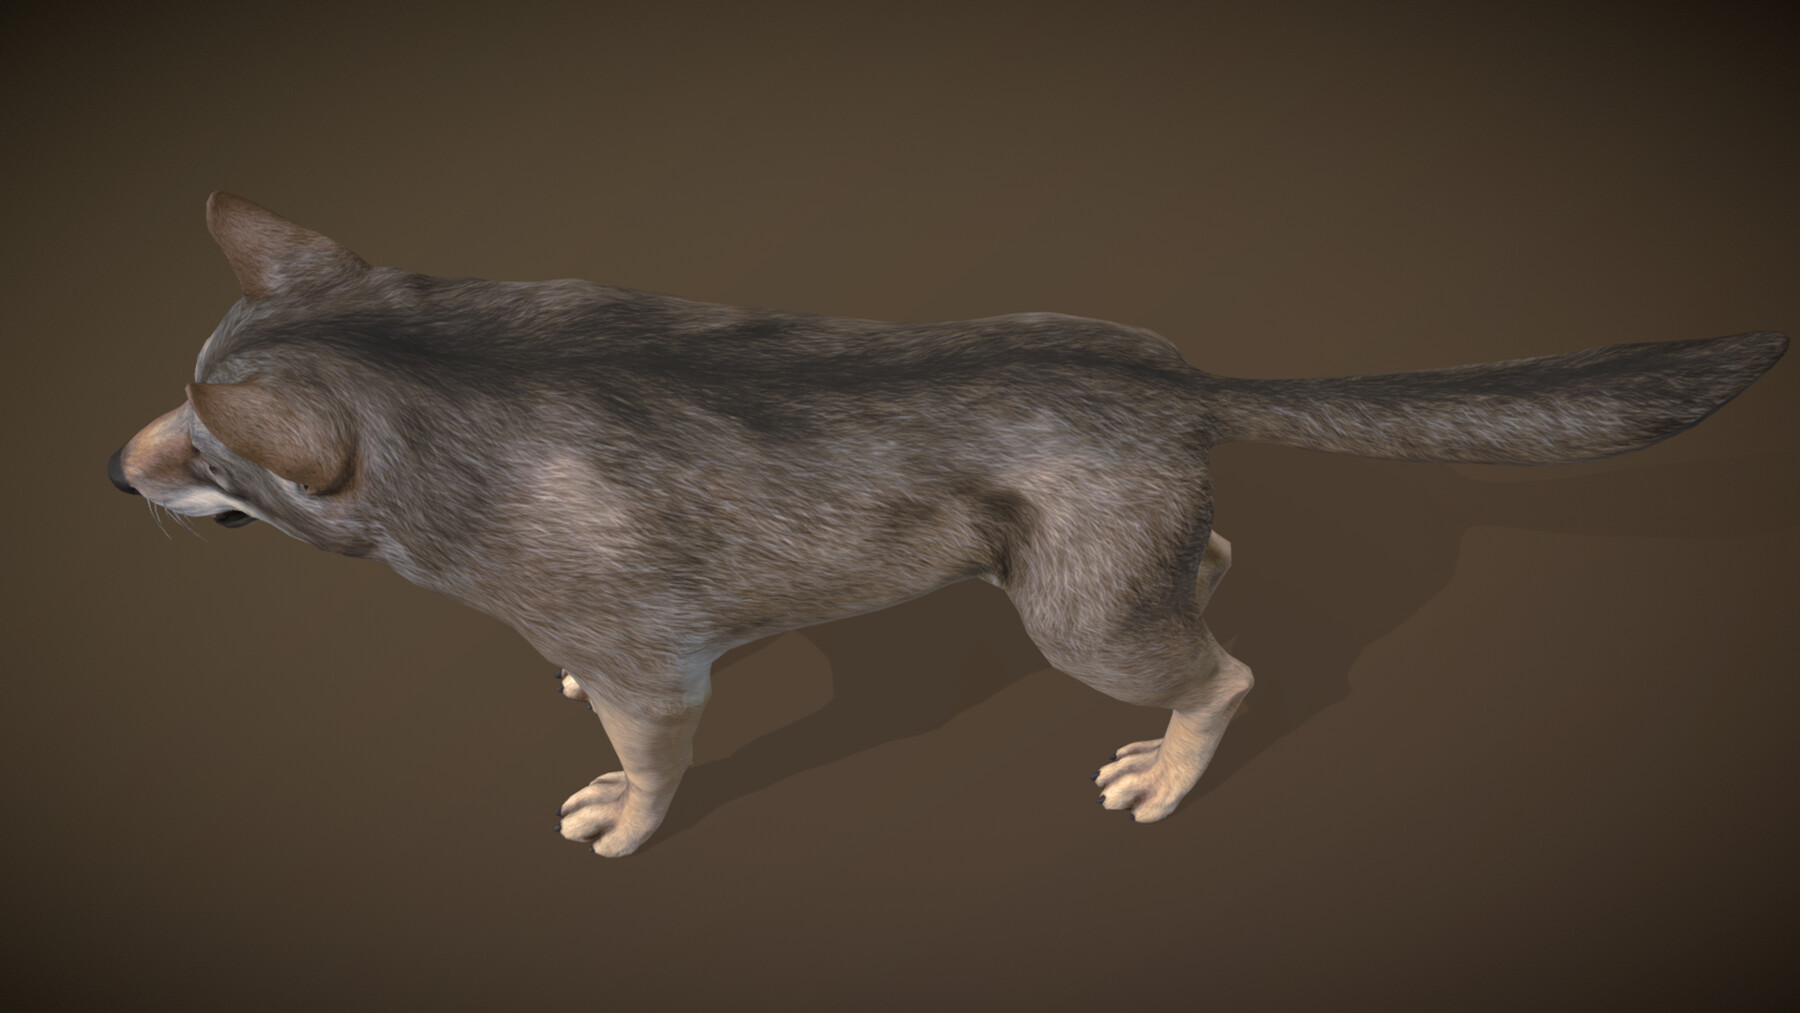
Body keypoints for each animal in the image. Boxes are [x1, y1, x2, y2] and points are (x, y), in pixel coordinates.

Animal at [108, 193, 1786, 857]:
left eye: (211, 449)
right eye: (178, 397)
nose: (116, 474)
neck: (440, 384)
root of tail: (1177, 380)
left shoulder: (658, 665)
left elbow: (648, 756)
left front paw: (625, 818)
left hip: (1079, 620)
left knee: (1229, 672)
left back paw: (1168, 771)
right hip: (1094, 567)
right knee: (1213, 565)